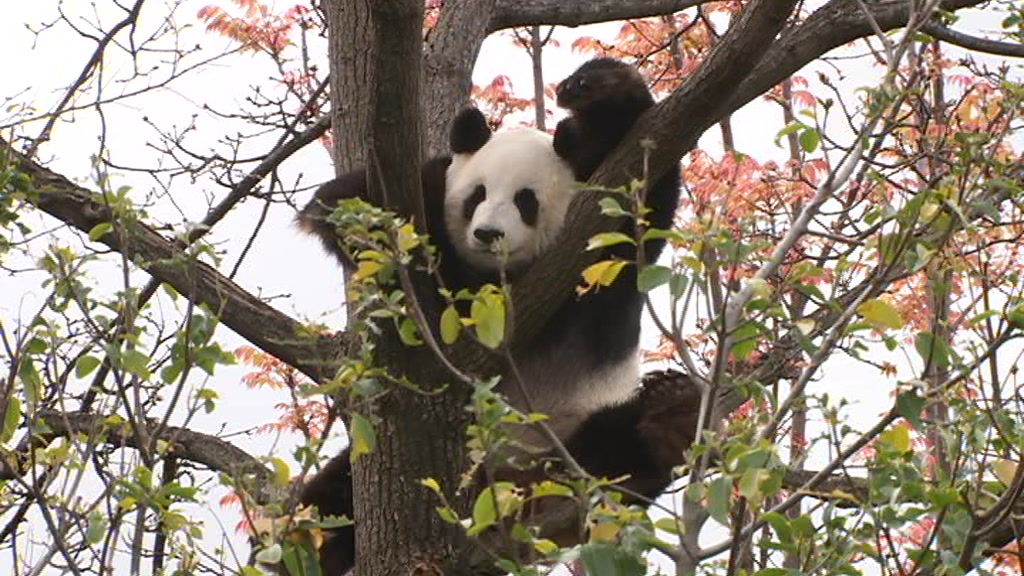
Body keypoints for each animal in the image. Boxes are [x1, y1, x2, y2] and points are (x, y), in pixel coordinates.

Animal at [294, 58, 685, 575]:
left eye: (526, 200)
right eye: (476, 195)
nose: (488, 235)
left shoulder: (600, 264)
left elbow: (641, 208)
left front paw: (599, 89)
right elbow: (344, 205)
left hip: (567, 441)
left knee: (622, 450)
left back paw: (671, 413)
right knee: (332, 500)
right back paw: (308, 549)